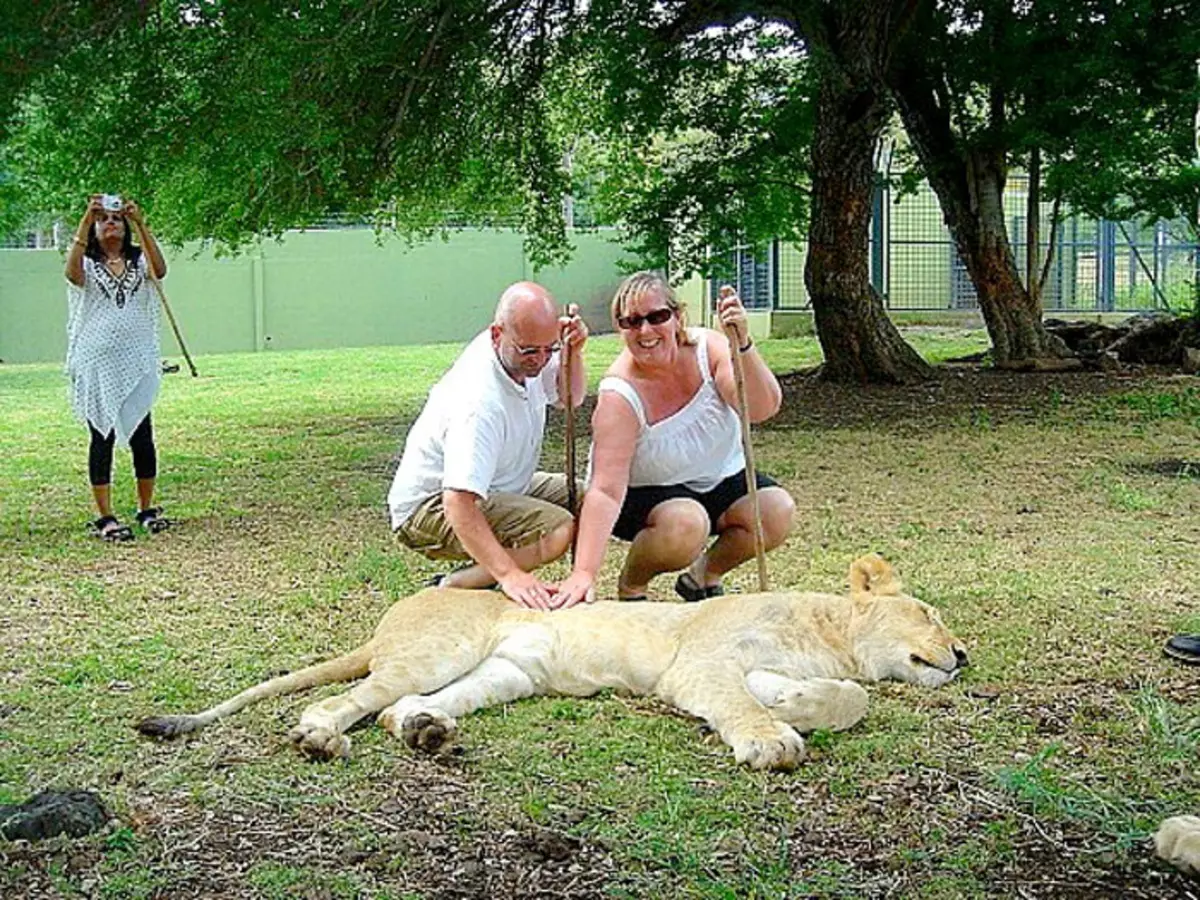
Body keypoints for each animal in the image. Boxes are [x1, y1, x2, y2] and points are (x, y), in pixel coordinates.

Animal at [138, 554, 964, 772]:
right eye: (929, 612)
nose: (963, 653)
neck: (826, 634)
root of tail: (389, 620)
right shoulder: (697, 667)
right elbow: (738, 703)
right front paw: (769, 739)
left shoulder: (762, 667)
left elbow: (849, 698)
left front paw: (793, 707)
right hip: (436, 651)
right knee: (344, 701)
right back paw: (320, 738)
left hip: (503, 674)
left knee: (400, 709)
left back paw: (428, 734)